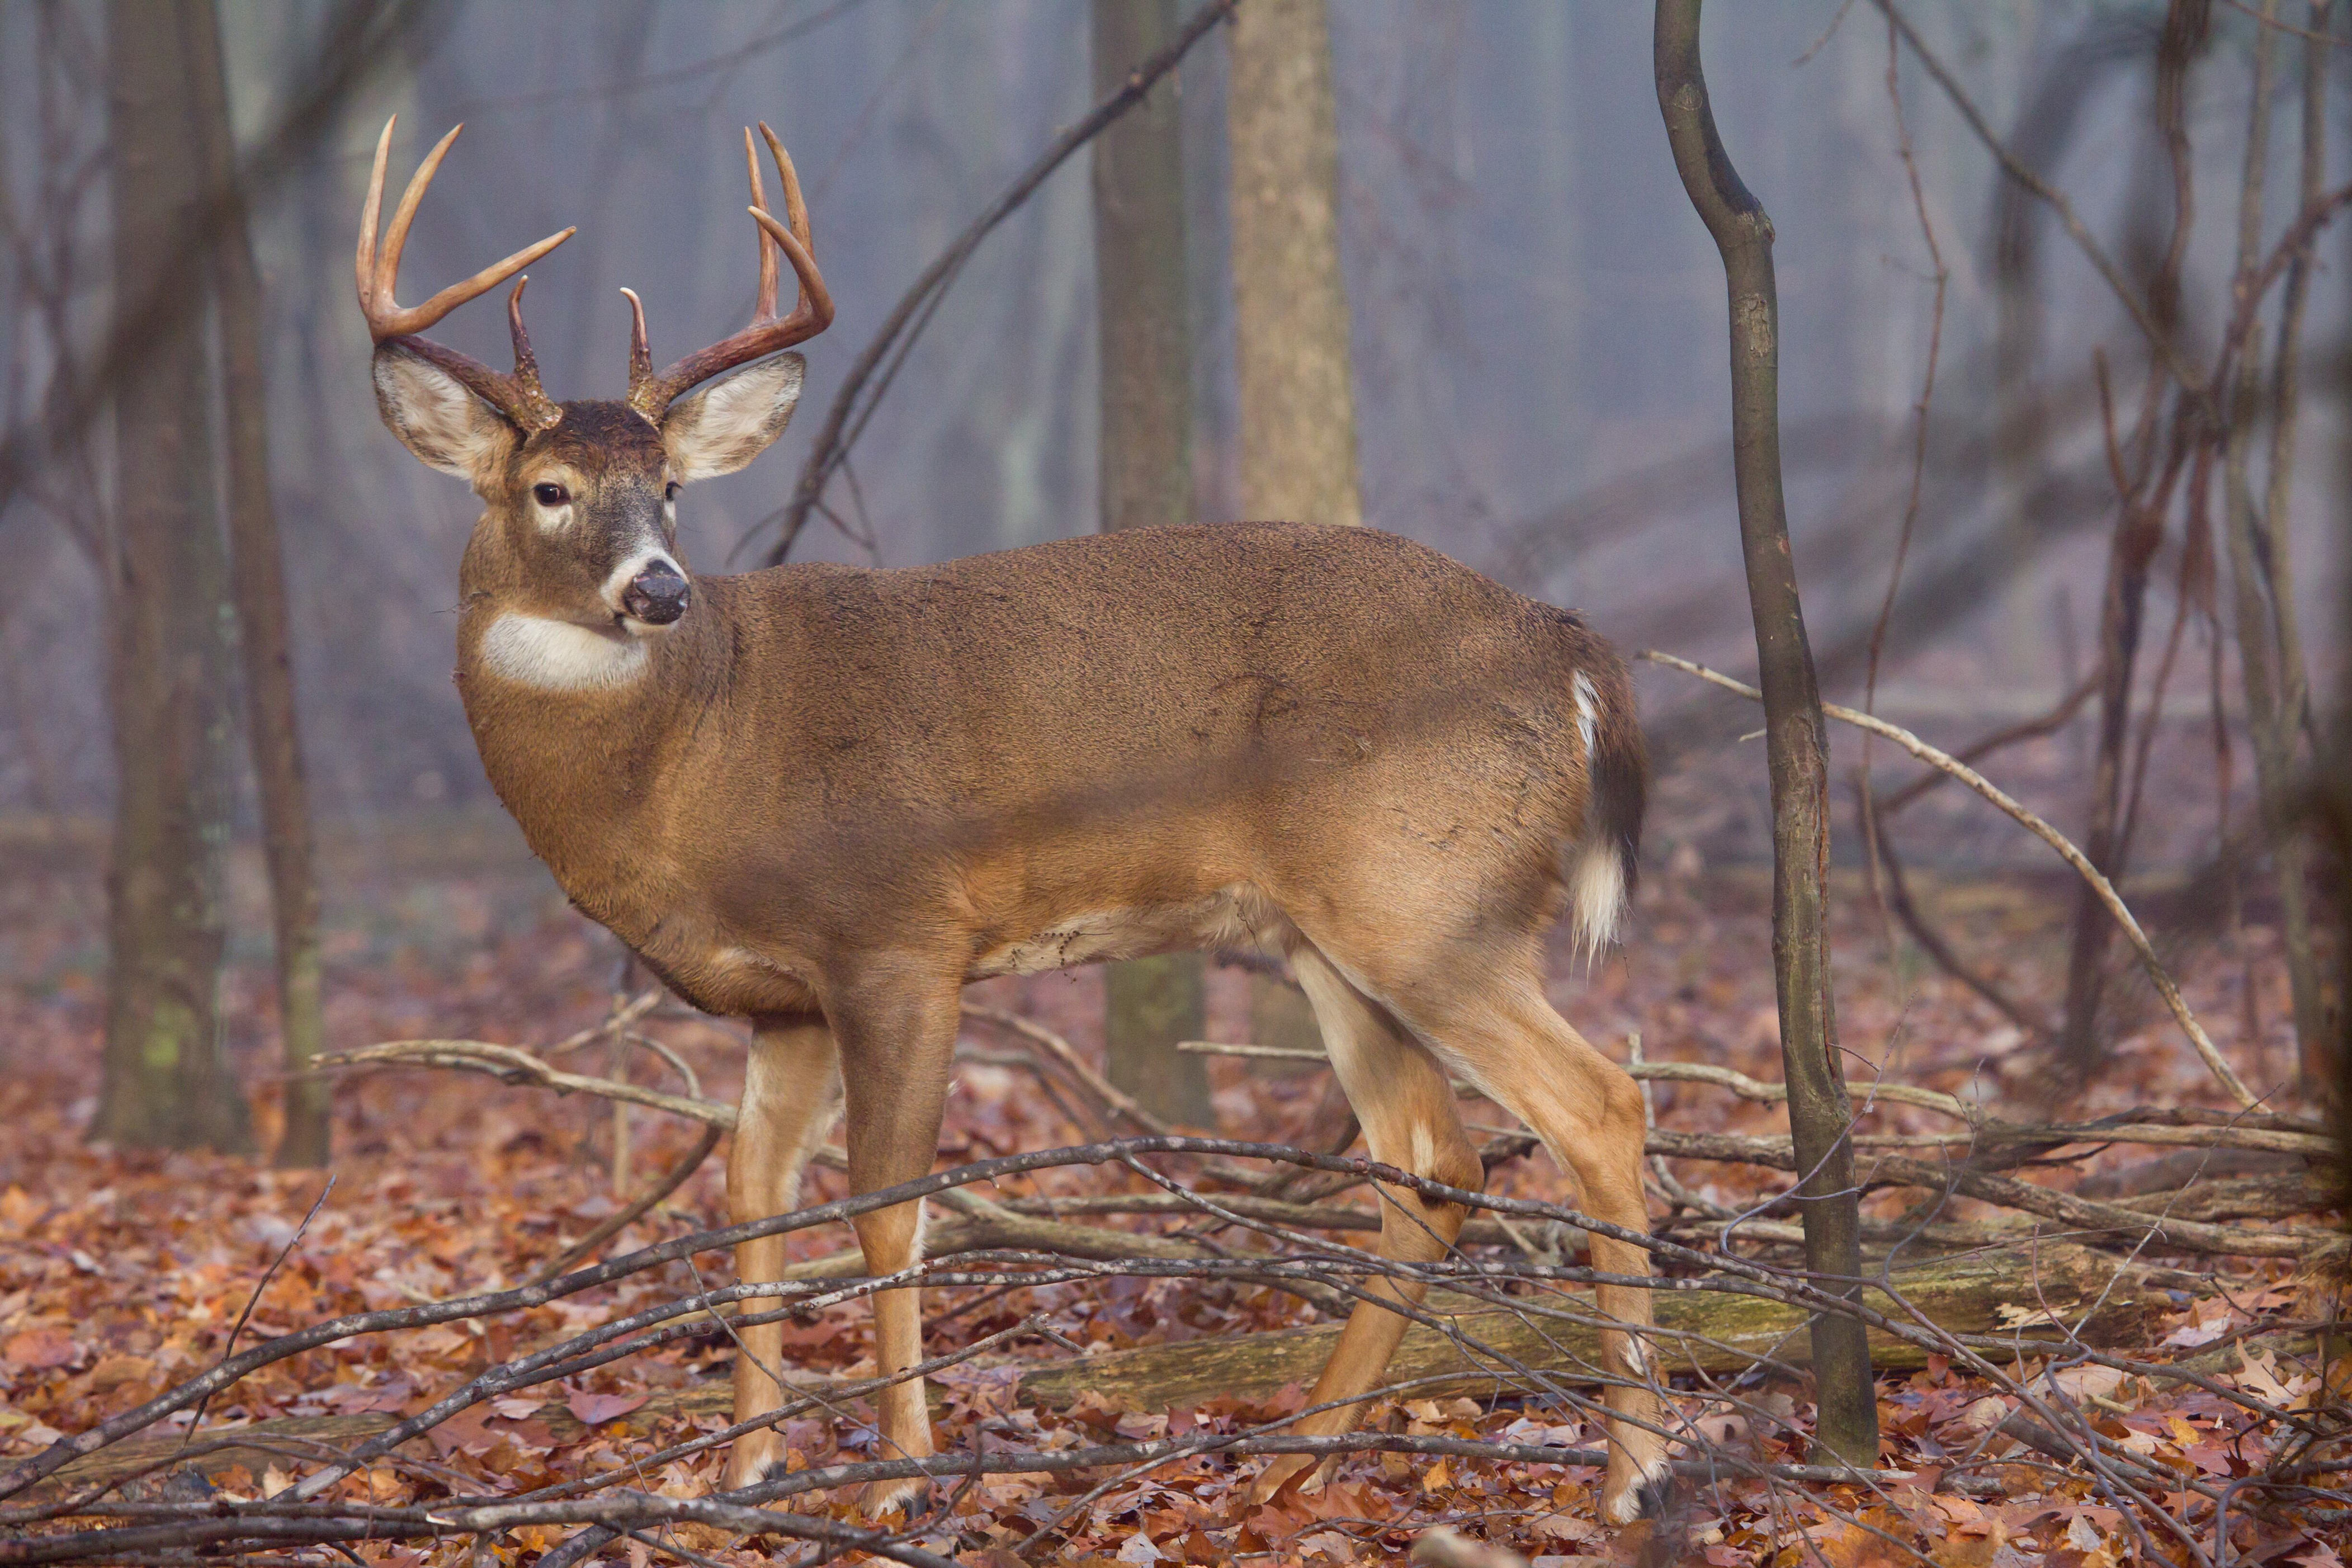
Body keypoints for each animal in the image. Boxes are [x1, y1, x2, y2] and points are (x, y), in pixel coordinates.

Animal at [355, 117, 1670, 1526]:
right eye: (548, 488)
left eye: (668, 487)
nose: (658, 589)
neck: (697, 759)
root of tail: (1565, 648)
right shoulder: (783, 1002)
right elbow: (755, 1196)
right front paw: (749, 1466)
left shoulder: (896, 938)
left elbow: (886, 1203)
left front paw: (896, 1472)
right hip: (1331, 935)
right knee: (1434, 1161)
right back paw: (1294, 1458)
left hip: (1426, 895)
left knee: (1594, 1105)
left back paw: (1635, 1471)